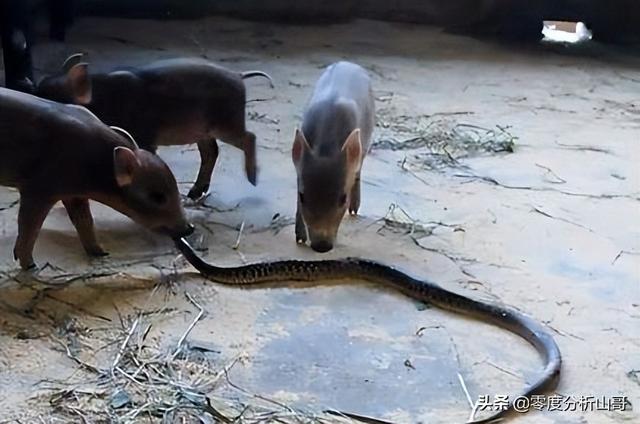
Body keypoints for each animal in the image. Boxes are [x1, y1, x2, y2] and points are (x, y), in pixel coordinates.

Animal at [0, 88, 193, 270]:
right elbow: (30, 227)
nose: (189, 228)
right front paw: (30, 265)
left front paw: (101, 252)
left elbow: (85, 221)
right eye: (157, 196)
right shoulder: (37, 189)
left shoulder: (73, 194)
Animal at [36, 55, 274, 200]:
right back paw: (193, 194)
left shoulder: (144, 138)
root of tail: (239, 75)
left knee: (248, 137)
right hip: (203, 131)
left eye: (51, 96)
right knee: (211, 152)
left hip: (226, 123)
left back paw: (252, 180)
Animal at [292, 61, 375, 253]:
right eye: (302, 196)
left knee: (358, 168)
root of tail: (350, 63)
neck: (326, 148)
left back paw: (355, 209)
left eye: (343, 198)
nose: (321, 246)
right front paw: (300, 238)